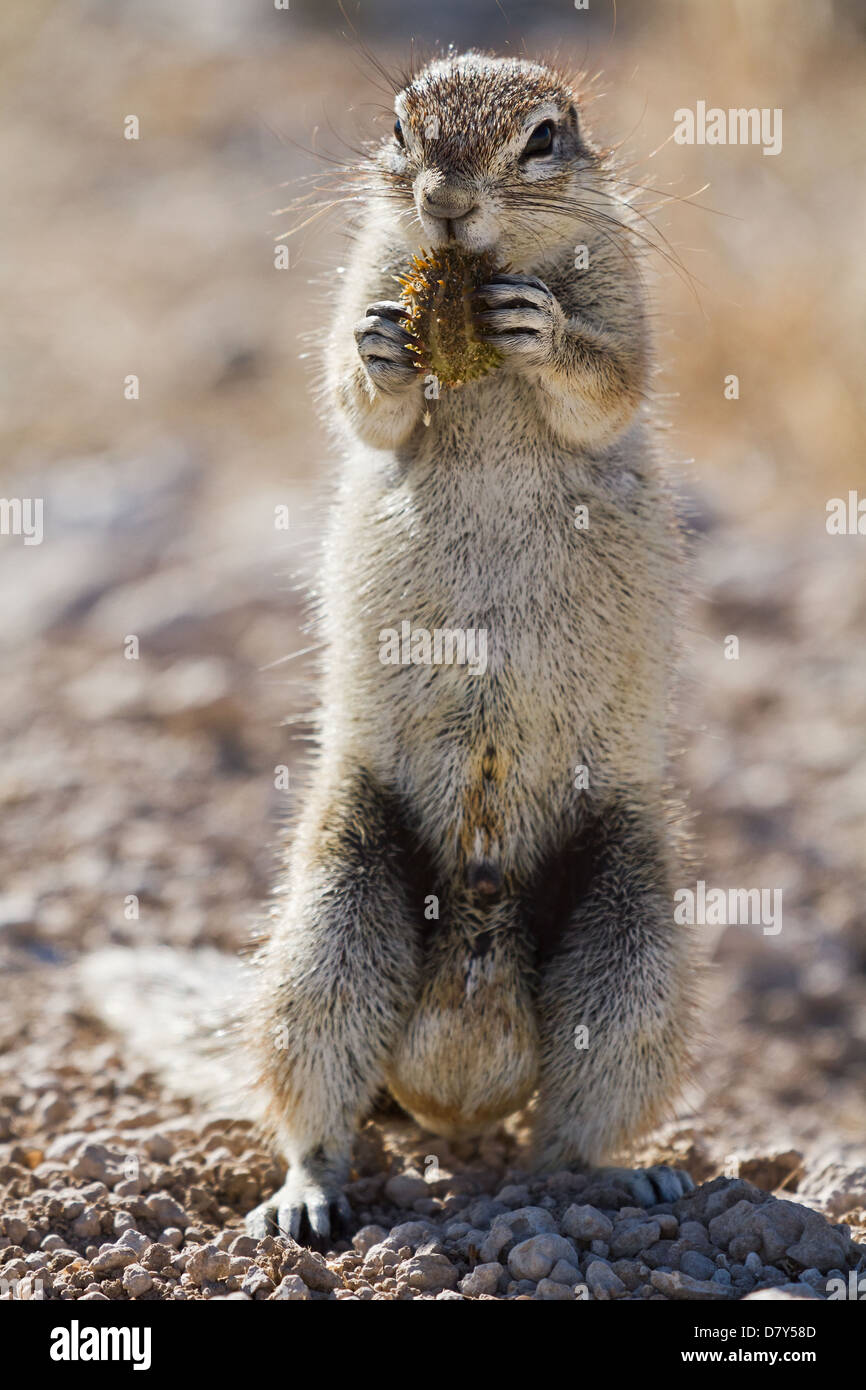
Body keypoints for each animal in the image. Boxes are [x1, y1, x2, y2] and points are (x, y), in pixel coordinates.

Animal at [245, 52, 698, 1243]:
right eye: (400, 127)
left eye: (541, 138)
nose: (444, 203)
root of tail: (456, 1084)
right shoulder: (369, 263)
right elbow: (352, 396)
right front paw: (379, 351)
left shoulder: (623, 284)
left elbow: (611, 379)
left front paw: (541, 328)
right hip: (336, 900)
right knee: (318, 1072)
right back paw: (307, 1194)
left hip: (635, 928)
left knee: (573, 1120)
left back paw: (614, 1178)